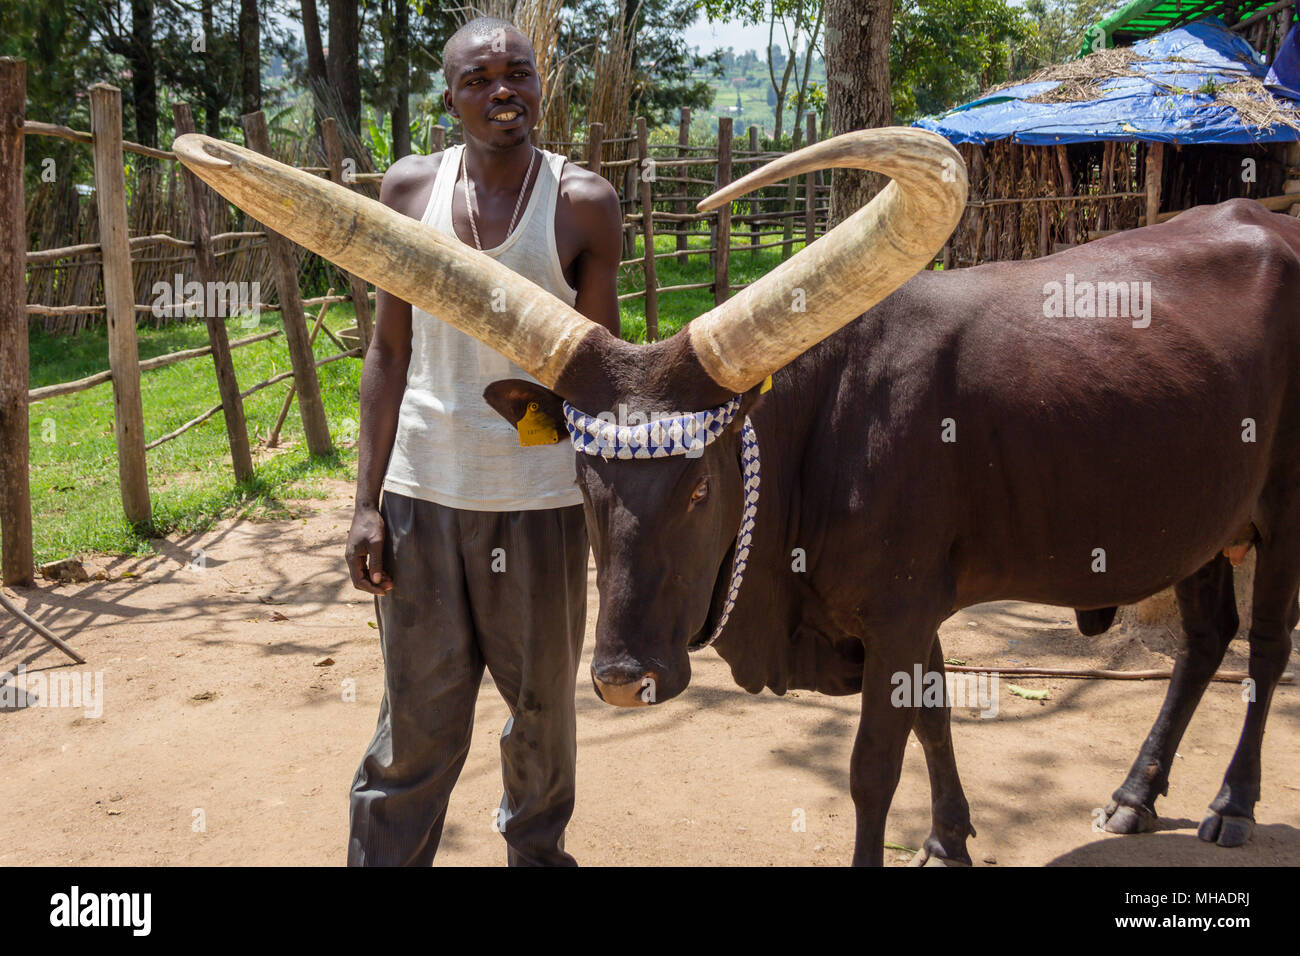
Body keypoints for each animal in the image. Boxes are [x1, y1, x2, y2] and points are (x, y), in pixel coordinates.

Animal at [175, 127, 1300, 866]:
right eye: (582, 477)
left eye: (699, 482)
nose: (621, 677)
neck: (820, 429)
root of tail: (1264, 221)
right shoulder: (914, 616)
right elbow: (935, 722)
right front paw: (949, 840)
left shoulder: (899, 613)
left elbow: (874, 768)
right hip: (1199, 525)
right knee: (1206, 637)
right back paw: (1133, 795)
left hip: (1286, 511)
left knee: (1265, 650)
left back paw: (1231, 806)